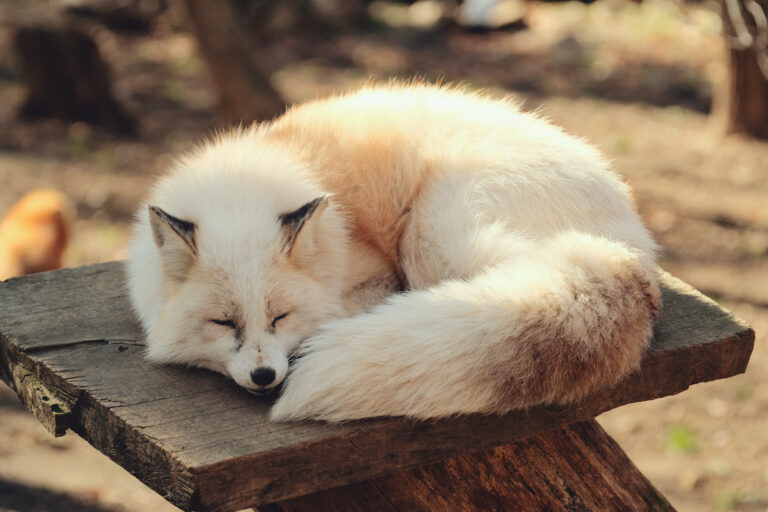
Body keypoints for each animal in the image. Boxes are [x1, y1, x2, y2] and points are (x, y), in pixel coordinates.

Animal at [126, 83, 661, 422]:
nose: (265, 376)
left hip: (433, 235)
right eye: (223, 322)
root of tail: (633, 254)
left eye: (280, 316)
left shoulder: (374, 273)